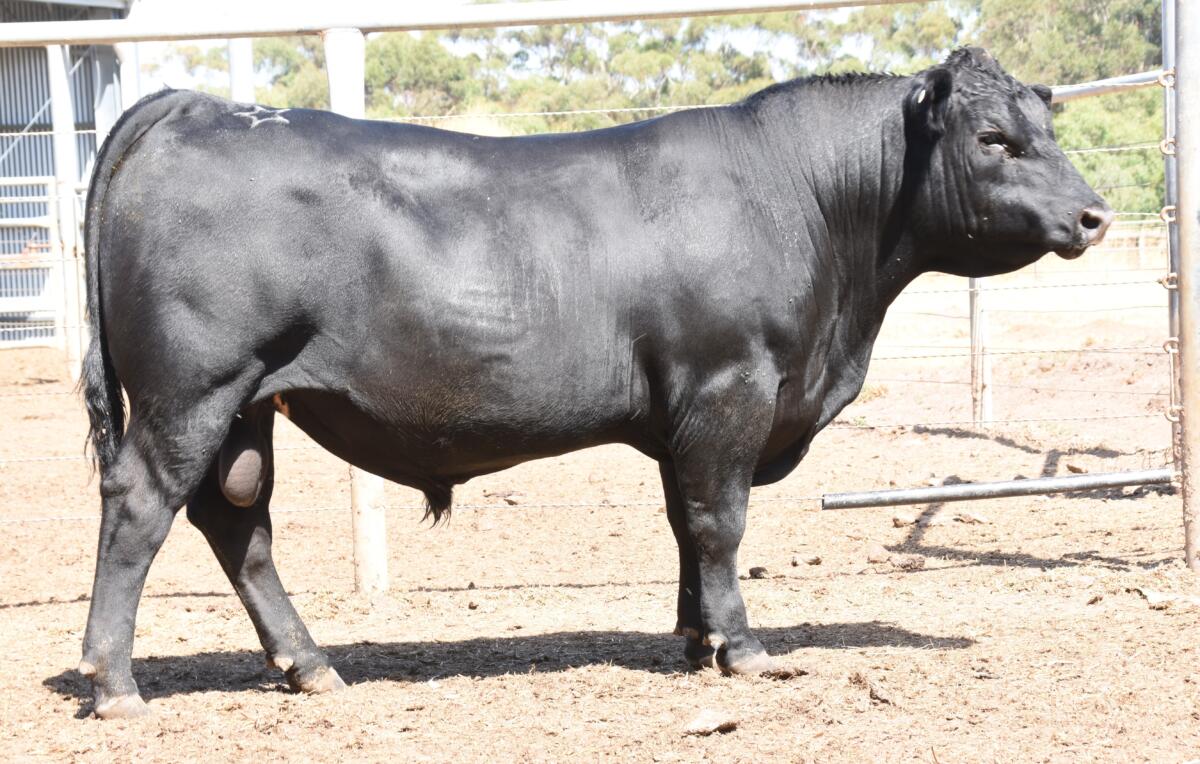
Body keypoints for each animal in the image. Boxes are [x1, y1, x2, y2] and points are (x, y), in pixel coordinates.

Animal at [77, 47, 1111, 718]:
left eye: (1044, 125)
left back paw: (309, 666)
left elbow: (687, 527)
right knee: (140, 506)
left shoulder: (682, 419)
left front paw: (697, 639)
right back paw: (117, 685)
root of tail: (191, 104)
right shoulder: (731, 388)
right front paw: (746, 649)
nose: (1095, 215)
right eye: (994, 138)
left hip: (245, 405)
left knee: (236, 523)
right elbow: (722, 524)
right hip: (191, 390)